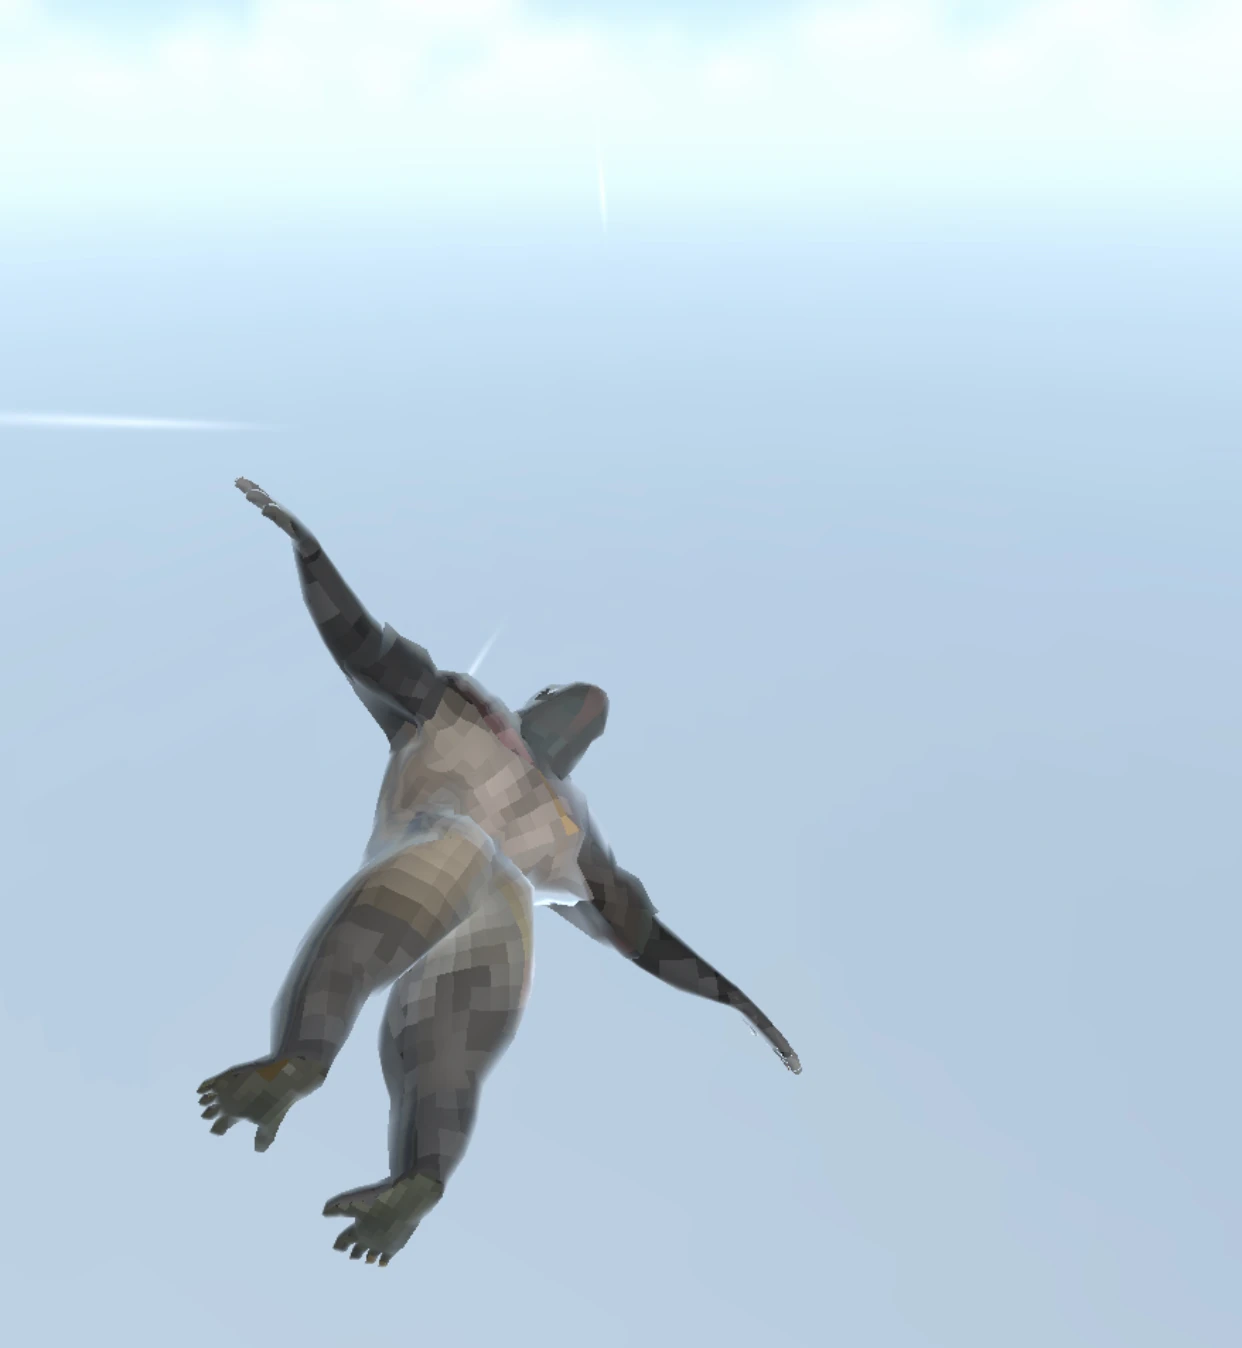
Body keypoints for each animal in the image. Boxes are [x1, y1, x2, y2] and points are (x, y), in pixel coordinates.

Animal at [197, 477, 801, 1267]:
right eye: (548, 686)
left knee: (427, 1010)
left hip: (483, 913)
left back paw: (377, 1153)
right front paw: (294, 529)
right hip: (469, 888)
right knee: (403, 951)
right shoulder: (447, 699)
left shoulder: (581, 844)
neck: (530, 757)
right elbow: (367, 648)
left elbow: (636, 931)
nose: (588, 693)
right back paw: (323, 1097)